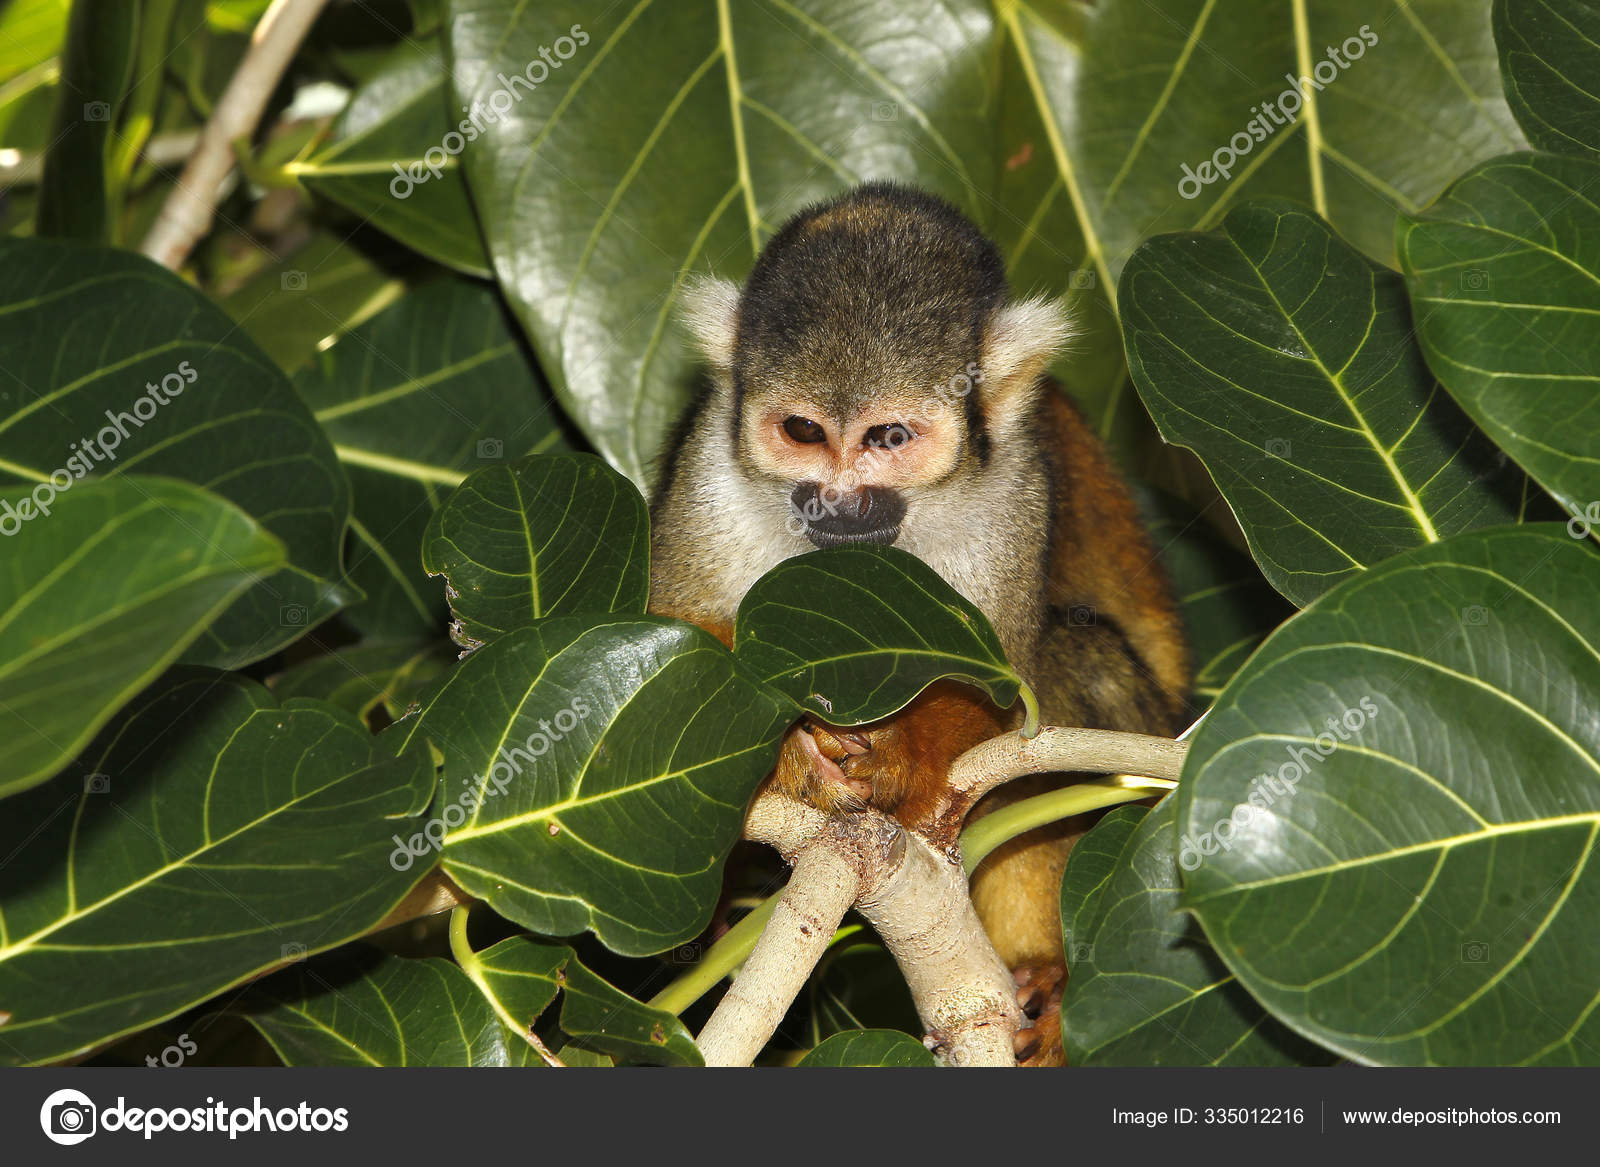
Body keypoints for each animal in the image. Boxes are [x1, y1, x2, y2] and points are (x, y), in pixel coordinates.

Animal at [648, 182, 1189, 1065]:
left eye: (889, 436)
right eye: (803, 431)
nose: (835, 502)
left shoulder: (1013, 492)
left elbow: (1003, 688)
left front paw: (898, 760)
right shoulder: (706, 468)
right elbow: (666, 638)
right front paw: (791, 752)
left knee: (1080, 662)